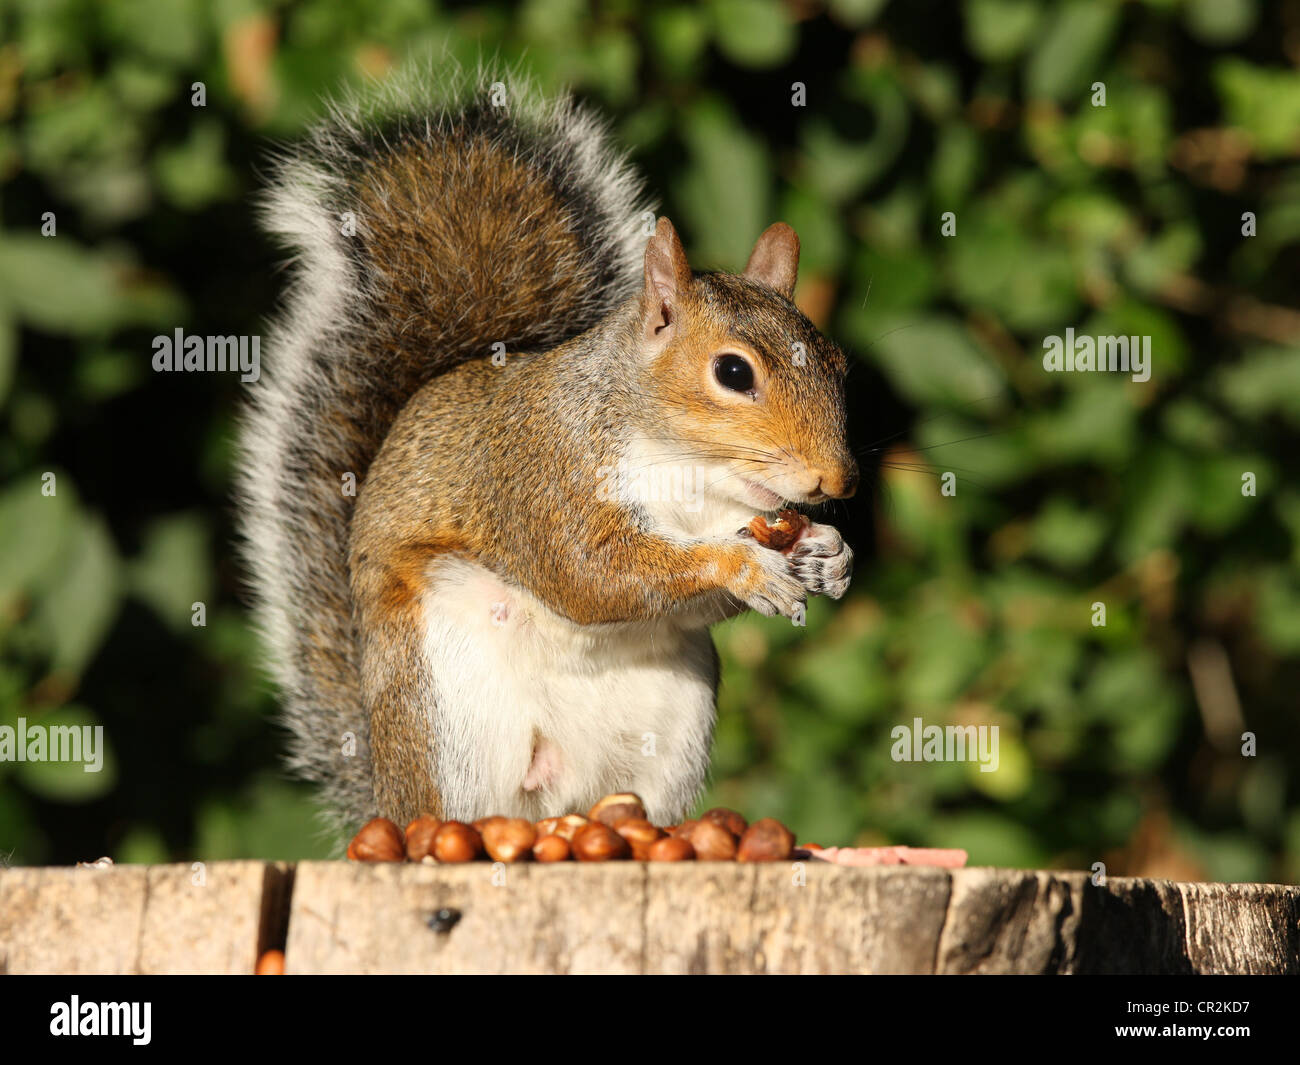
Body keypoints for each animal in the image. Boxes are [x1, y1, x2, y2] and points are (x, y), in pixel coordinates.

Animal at [236, 67, 858, 836]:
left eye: (839, 363)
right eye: (734, 372)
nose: (839, 479)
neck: (696, 485)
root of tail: (387, 794)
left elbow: (683, 602)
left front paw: (828, 553)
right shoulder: (544, 472)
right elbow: (589, 573)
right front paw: (743, 565)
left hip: (670, 725)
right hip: (446, 714)